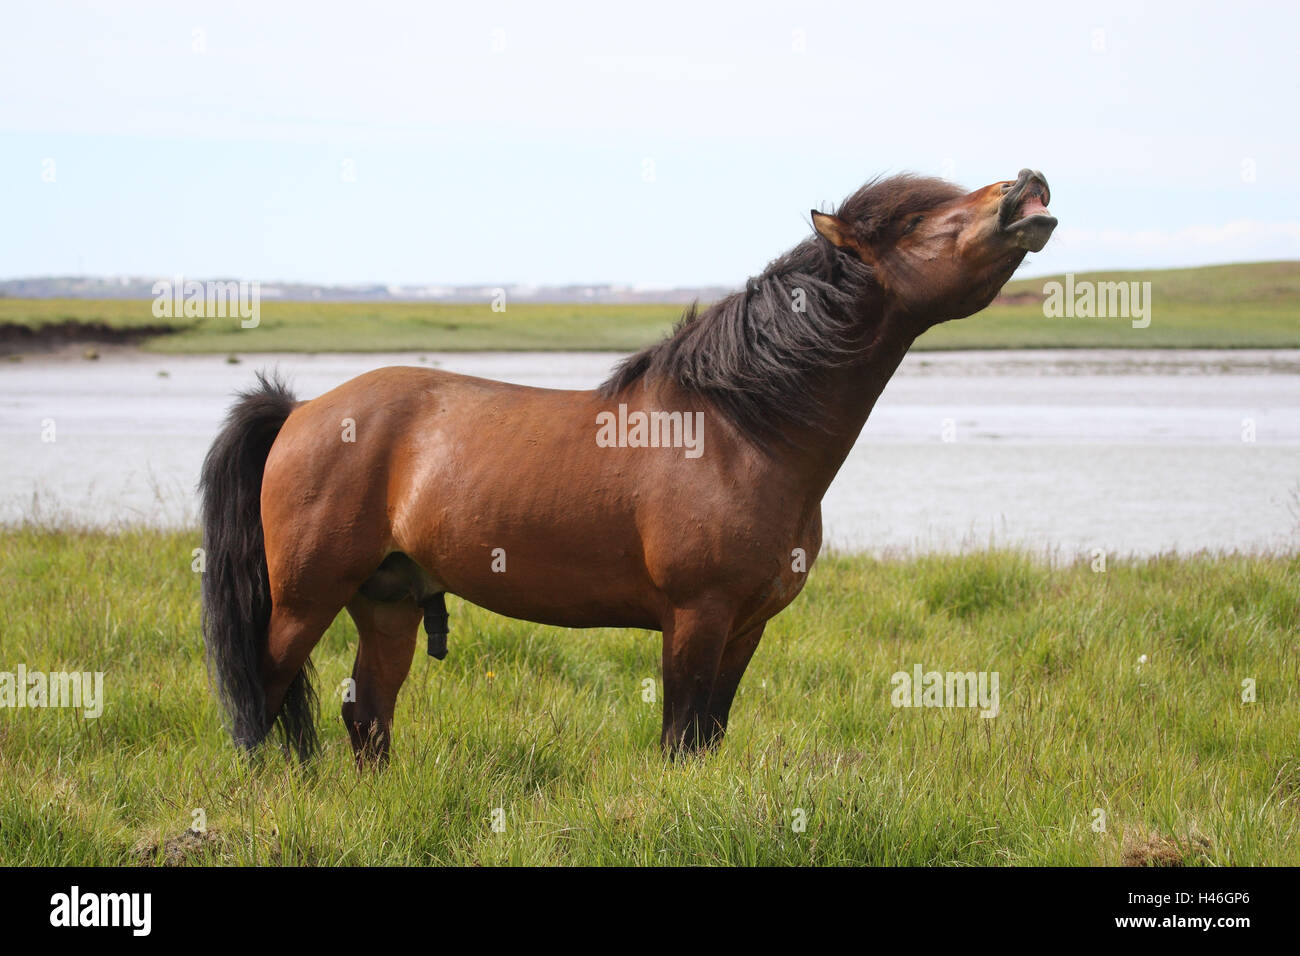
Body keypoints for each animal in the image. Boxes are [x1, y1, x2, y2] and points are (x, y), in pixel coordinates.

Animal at [199, 168, 1056, 764]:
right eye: (912, 221)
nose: (1027, 188)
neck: (740, 433)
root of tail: (302, 411)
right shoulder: (696, 617)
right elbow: (680, 738)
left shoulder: (745, 627)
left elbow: (709, 736)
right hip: (305, 599)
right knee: (260, 698)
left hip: (388, 599)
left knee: (365, 713)